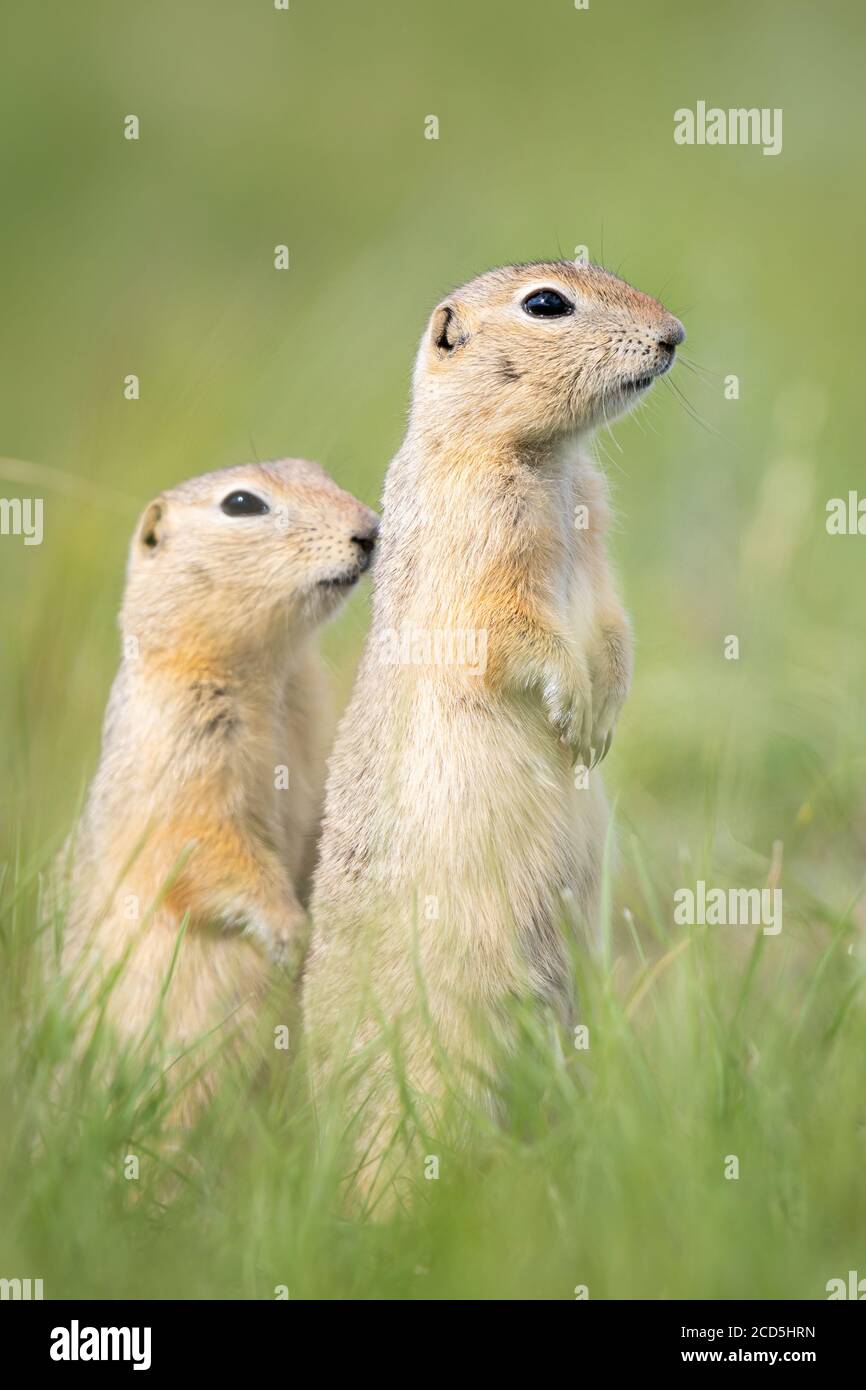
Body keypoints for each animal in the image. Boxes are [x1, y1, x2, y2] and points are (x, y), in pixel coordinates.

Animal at [302, 262, 684, 1207]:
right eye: (547, 303)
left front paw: (602, 719)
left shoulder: (599, 546)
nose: (675, 335)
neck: (549, 462)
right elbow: (511, 632)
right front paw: (574, 710)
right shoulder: (479, 549)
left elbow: (614, 625)